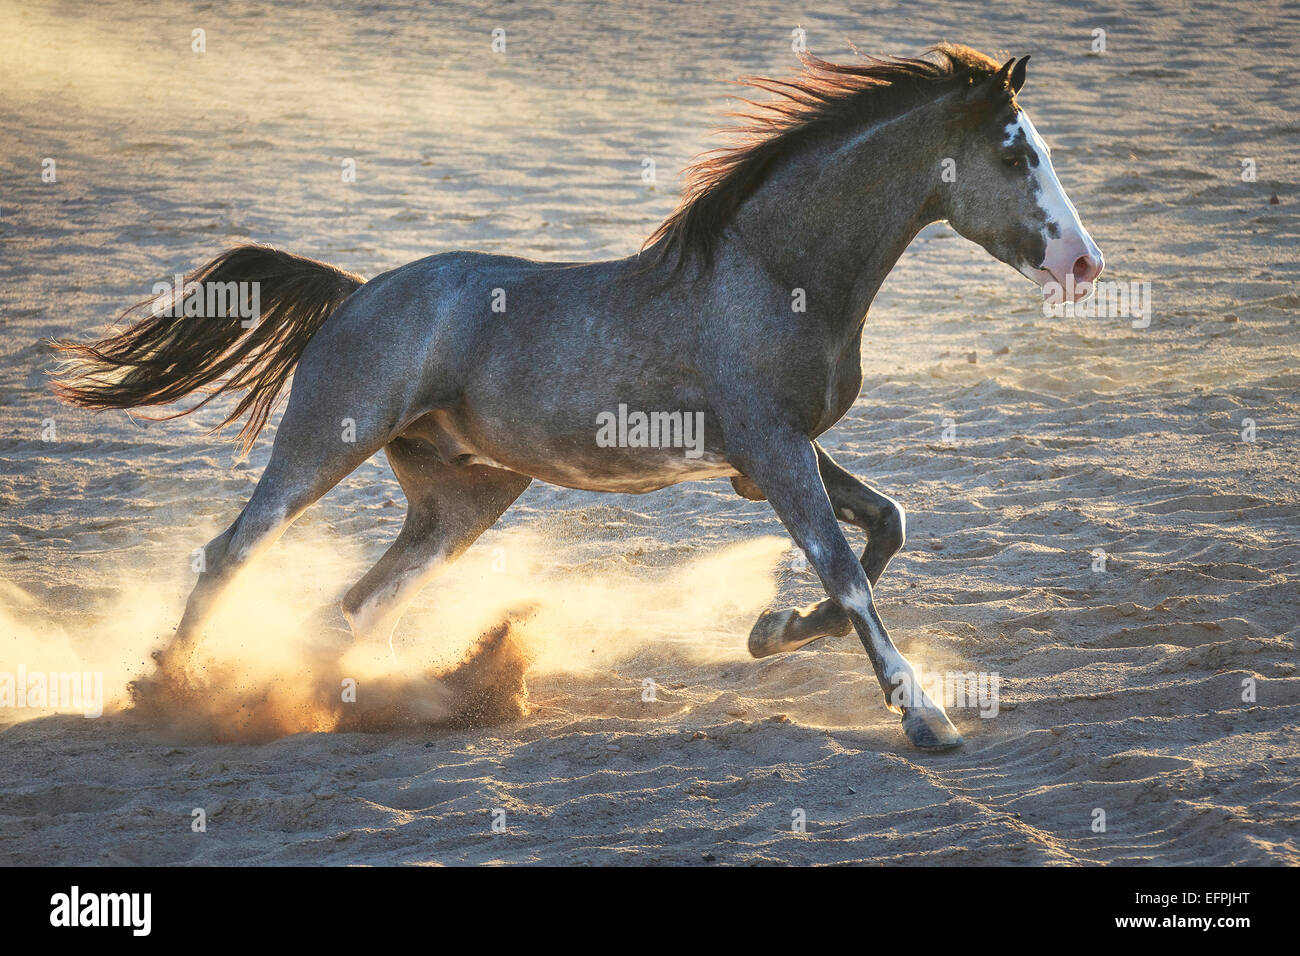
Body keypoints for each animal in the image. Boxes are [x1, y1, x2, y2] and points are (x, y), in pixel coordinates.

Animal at [52, 44, 1103, 750]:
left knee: (355, 604)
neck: (773, 271)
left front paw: (770, 632)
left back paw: (365, 698)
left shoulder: (776, 455)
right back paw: (172, 690)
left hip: (463, 497)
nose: (1083, 264)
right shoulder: (771, 451)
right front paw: (924, 718)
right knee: (230, 552)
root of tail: (354, 294)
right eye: (1014, 156)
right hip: (325, 444)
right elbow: (848, 568)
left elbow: (886, 527)